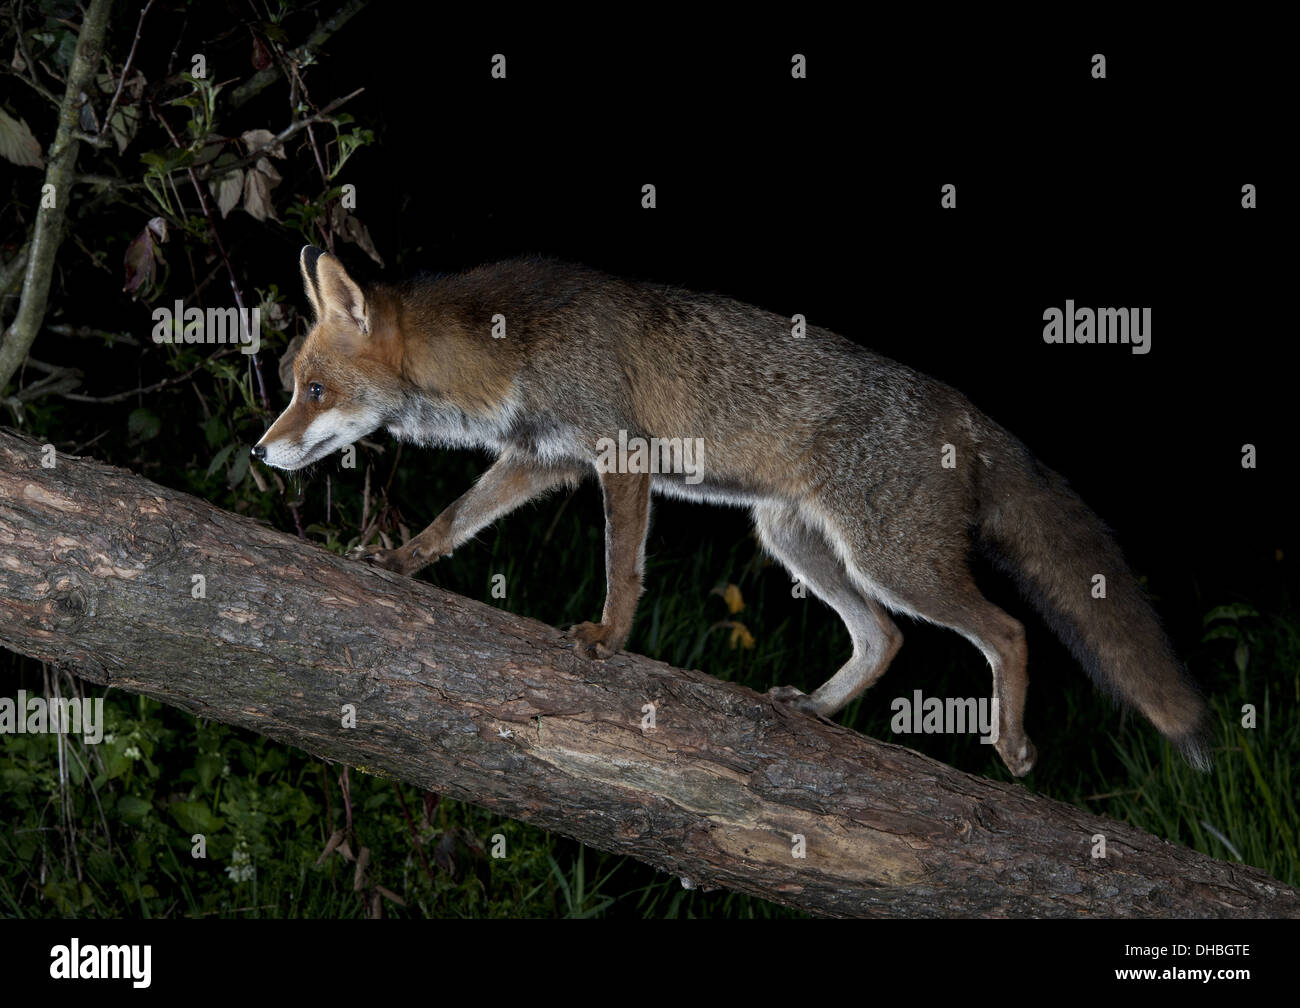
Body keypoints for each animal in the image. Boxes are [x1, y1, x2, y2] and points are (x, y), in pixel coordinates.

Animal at [252, 246, 1212, 778]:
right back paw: (818, 711)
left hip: (890, 559)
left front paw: (609, 639)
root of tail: (968, 412)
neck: (510, 345)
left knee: (1006, 632)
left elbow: (623, 569)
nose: (261, 453)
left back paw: (1011, 745)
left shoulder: (620, 455)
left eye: (313, 391)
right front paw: (397, 562)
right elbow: (452, 522)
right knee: (885, 640)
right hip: (798, 544)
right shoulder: (543, 458)